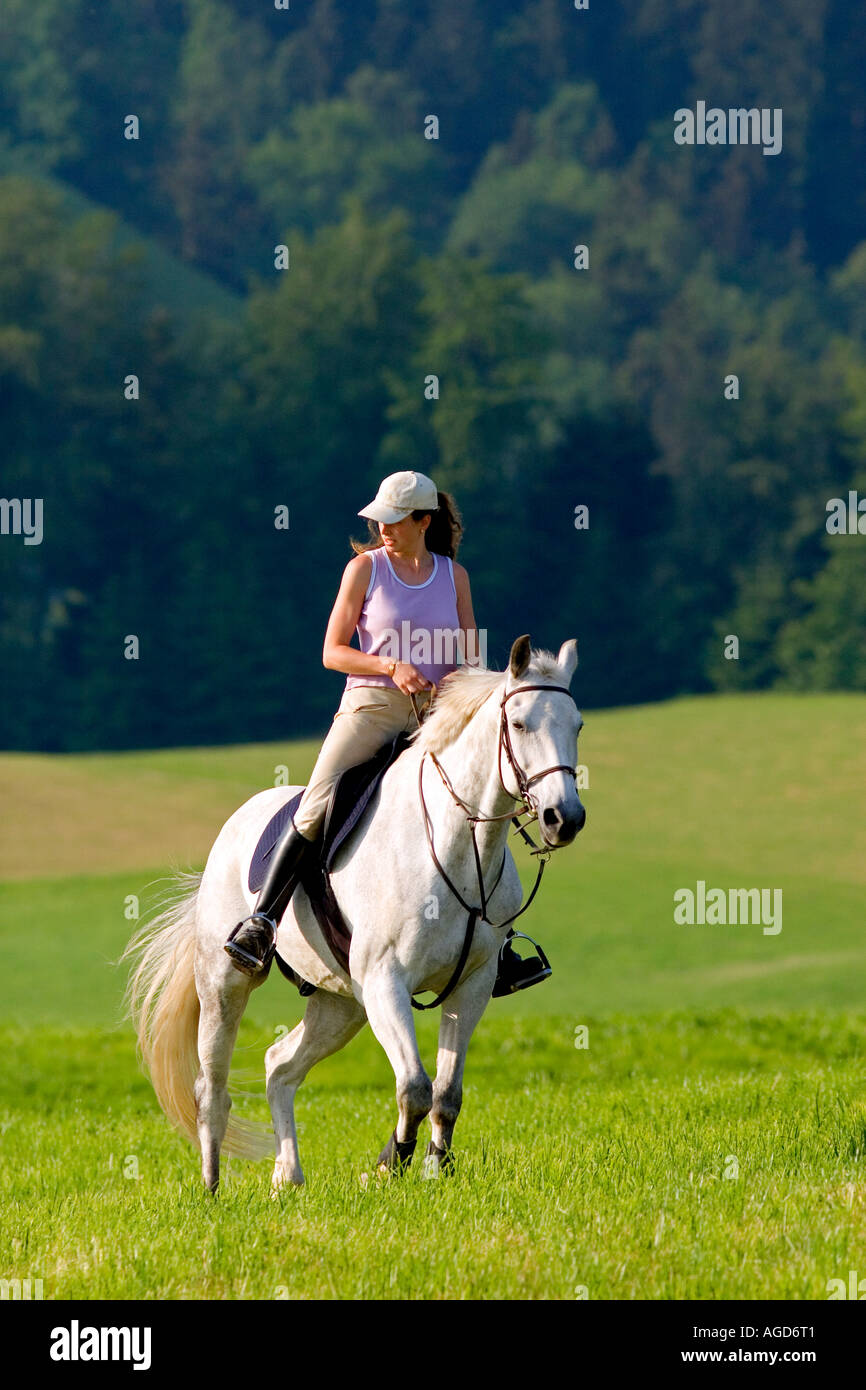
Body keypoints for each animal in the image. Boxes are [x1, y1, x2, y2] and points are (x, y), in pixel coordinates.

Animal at [124, 634, 586, 1192]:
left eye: (577, 725)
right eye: (518, 724)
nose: (565, 819)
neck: (456, 845)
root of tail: (234, 827)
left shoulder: (470, 986)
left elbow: (446, 1095)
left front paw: (433, 1170)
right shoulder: (386, 980)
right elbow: (415, 1087)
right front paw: (391, 1165)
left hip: (342, 1002)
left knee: (280, 1066)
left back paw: (288, 1179)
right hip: (225, 982)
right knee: (211, 1088)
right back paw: (213, 1191)